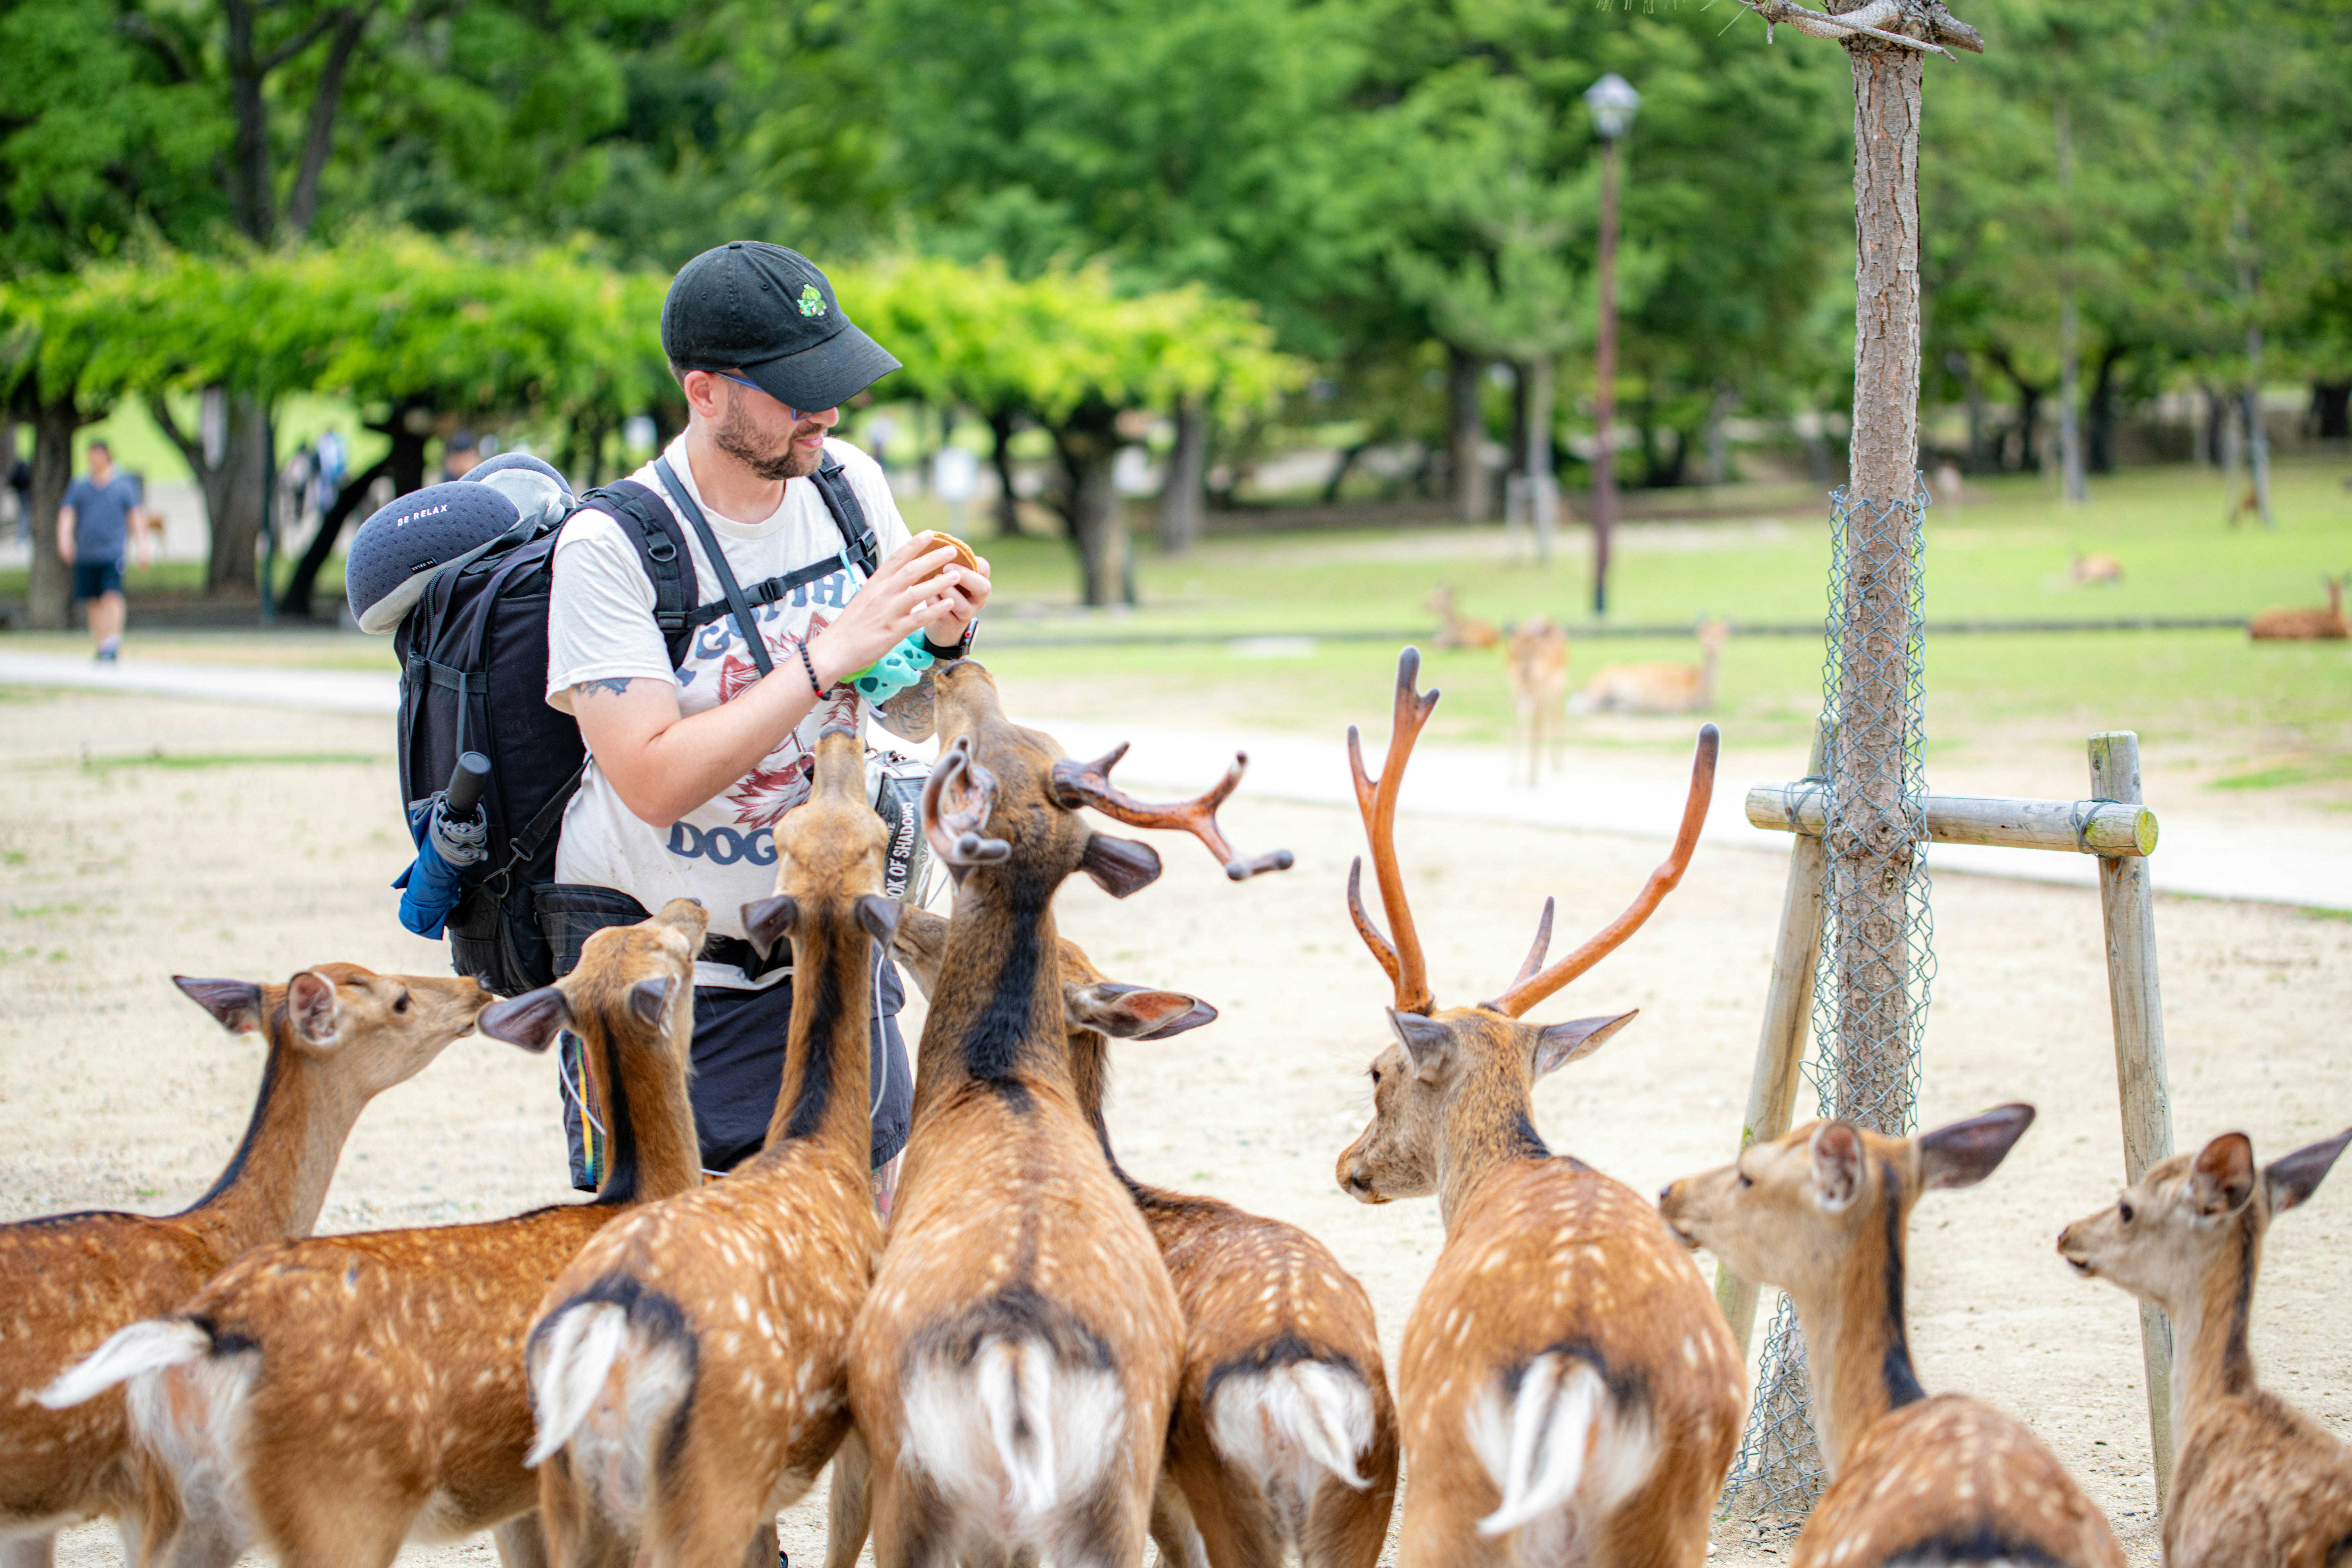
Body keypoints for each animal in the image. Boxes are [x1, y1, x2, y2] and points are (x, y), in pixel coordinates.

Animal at [520, 732, 896, 1568]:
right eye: (882, 836)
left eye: (793, 837)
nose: (837, 739)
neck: (819, 1144)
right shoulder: (859, 1418)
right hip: (708, 1486)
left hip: (572, 1499)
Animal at [836, 657, 1292, 1568]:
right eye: (1036, 738)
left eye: (970, 758)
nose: (961, 666)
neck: (996, 1077)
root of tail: (1018, 1375)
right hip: (1108, 1508)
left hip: (916, 1494)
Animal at [1505, 616, 1570, 786]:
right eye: (1518, 652)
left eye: (1534, 653)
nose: (1526, 670)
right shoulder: (1518, 695)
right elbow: (1518, 730)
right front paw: (1514, 776)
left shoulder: (1539, 695)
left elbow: (1535, 730)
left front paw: (1532, 777)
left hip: (1557, 690)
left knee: (1558, 719)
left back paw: (1558, 764)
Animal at [1575, 618, 1728, 716]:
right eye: (1703, 637)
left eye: (1721, 637)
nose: (1710, 649)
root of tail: (1586, 684)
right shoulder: (1674, 702)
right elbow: (1681, 709)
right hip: (1601, 688)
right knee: (1588, 707)